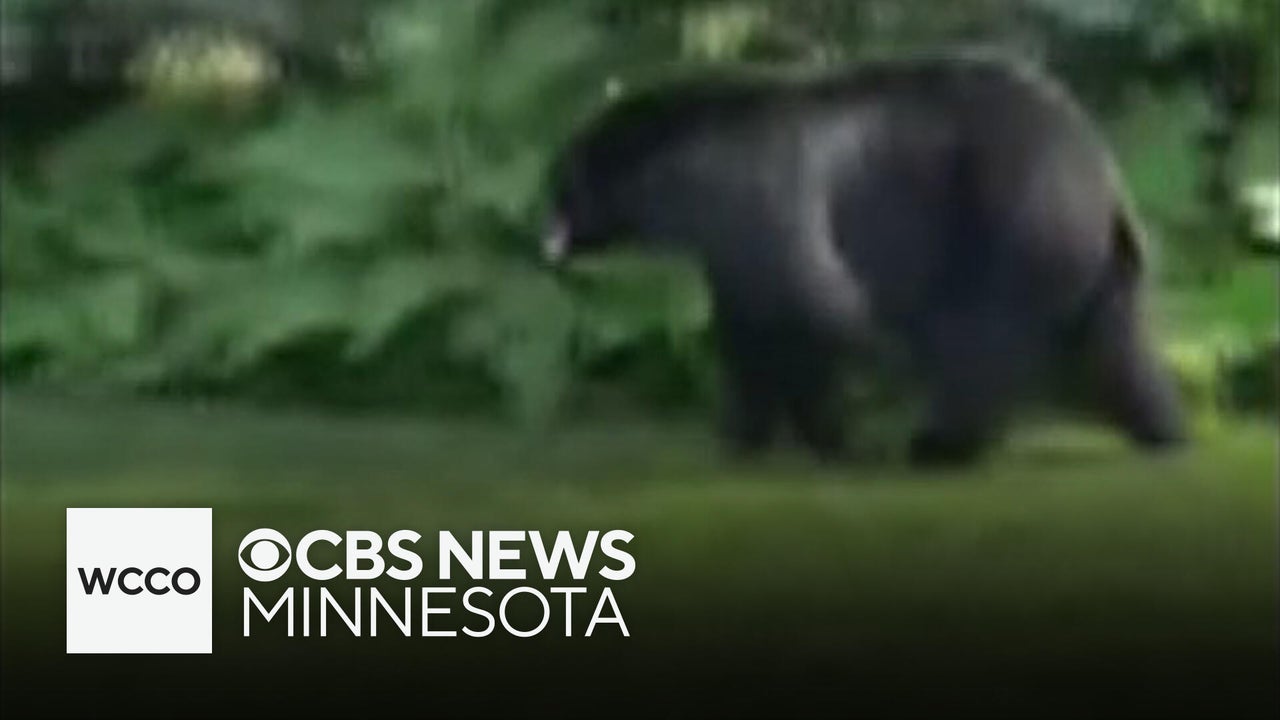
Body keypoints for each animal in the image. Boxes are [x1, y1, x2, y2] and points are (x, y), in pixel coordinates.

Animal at [541, 54, 1186, 465]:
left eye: (561, 191)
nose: (546, 244)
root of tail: (1105, 180)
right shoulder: (731, 250)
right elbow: (753, 329)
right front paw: (747, 433)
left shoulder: (762, 207)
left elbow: (806, 317)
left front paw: (826, 435)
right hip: (1094, 262)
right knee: (1116, 346)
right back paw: (1163, 428)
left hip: (1006, 223)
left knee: (975, 338)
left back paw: (941, 443)